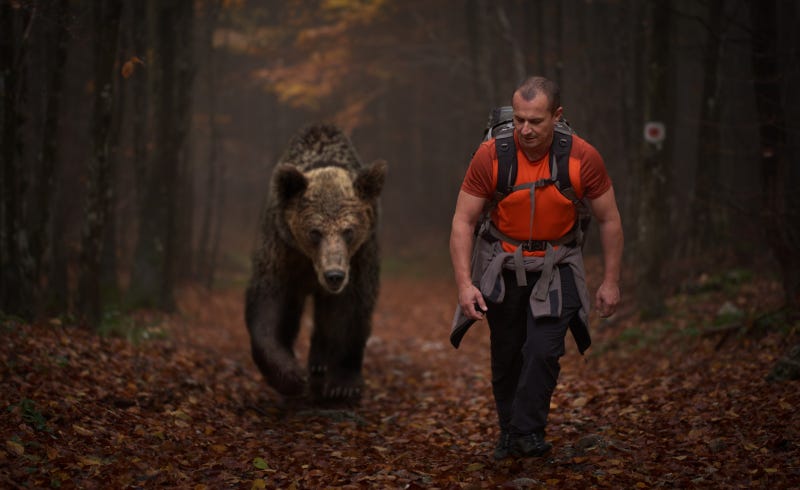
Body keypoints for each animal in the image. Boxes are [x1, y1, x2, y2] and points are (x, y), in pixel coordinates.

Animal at [245, 123, 387, 403]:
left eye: (348, 230)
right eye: (314, 232)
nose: (334, 275)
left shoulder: (359, 257)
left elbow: (350, 310)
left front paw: (343, 385)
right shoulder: (283, 249)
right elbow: (270, 304)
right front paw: (289, 375)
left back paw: (320, 362)